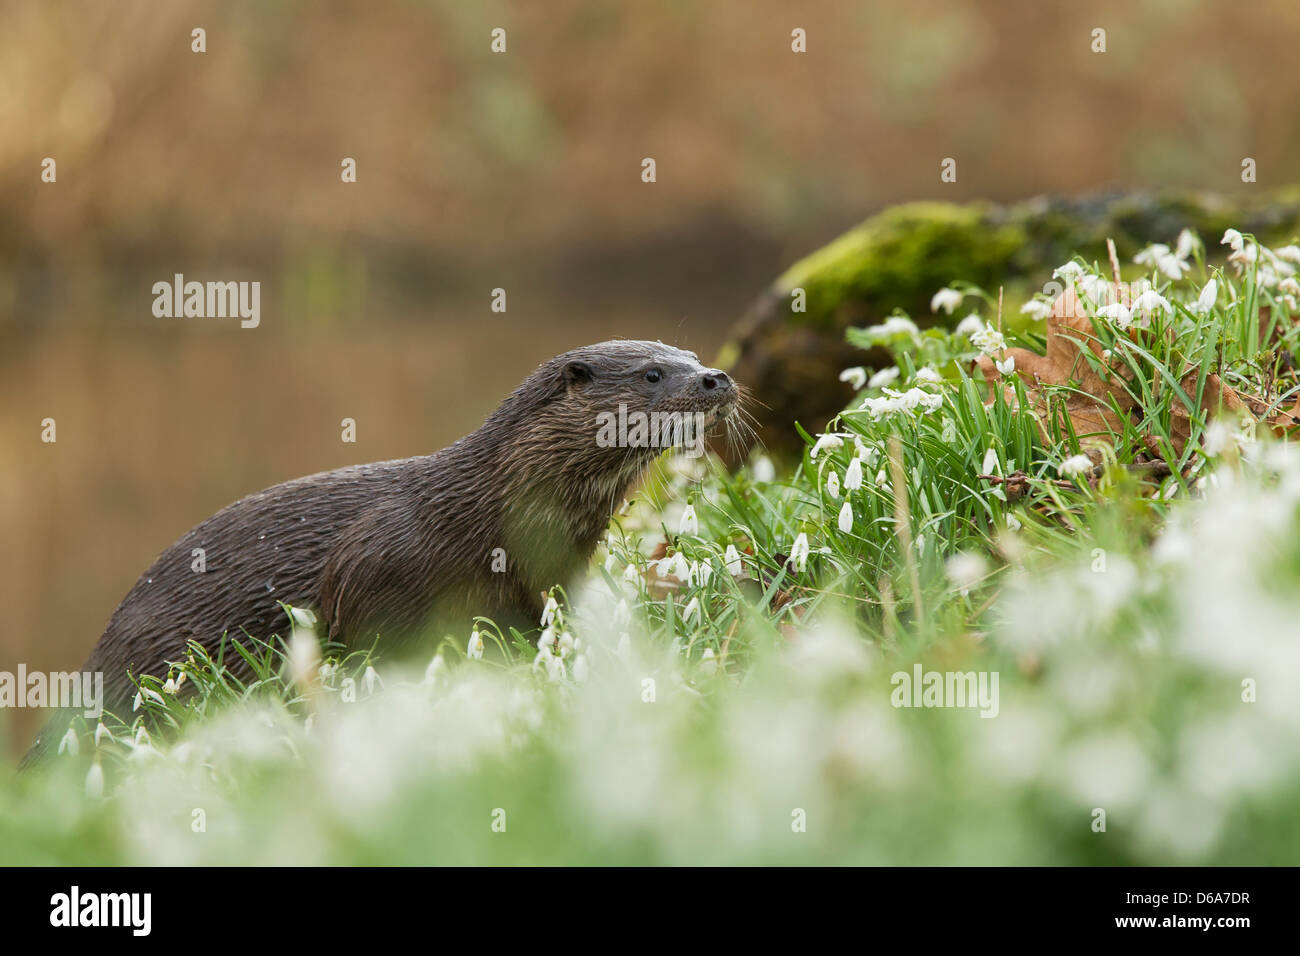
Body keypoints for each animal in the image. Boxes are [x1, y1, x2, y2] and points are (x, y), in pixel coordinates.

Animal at [24, 340, 738, 763]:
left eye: (690, 352)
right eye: (652, 373)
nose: (718, 377)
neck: (476, 522)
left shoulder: (550, 580)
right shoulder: (375, 563)